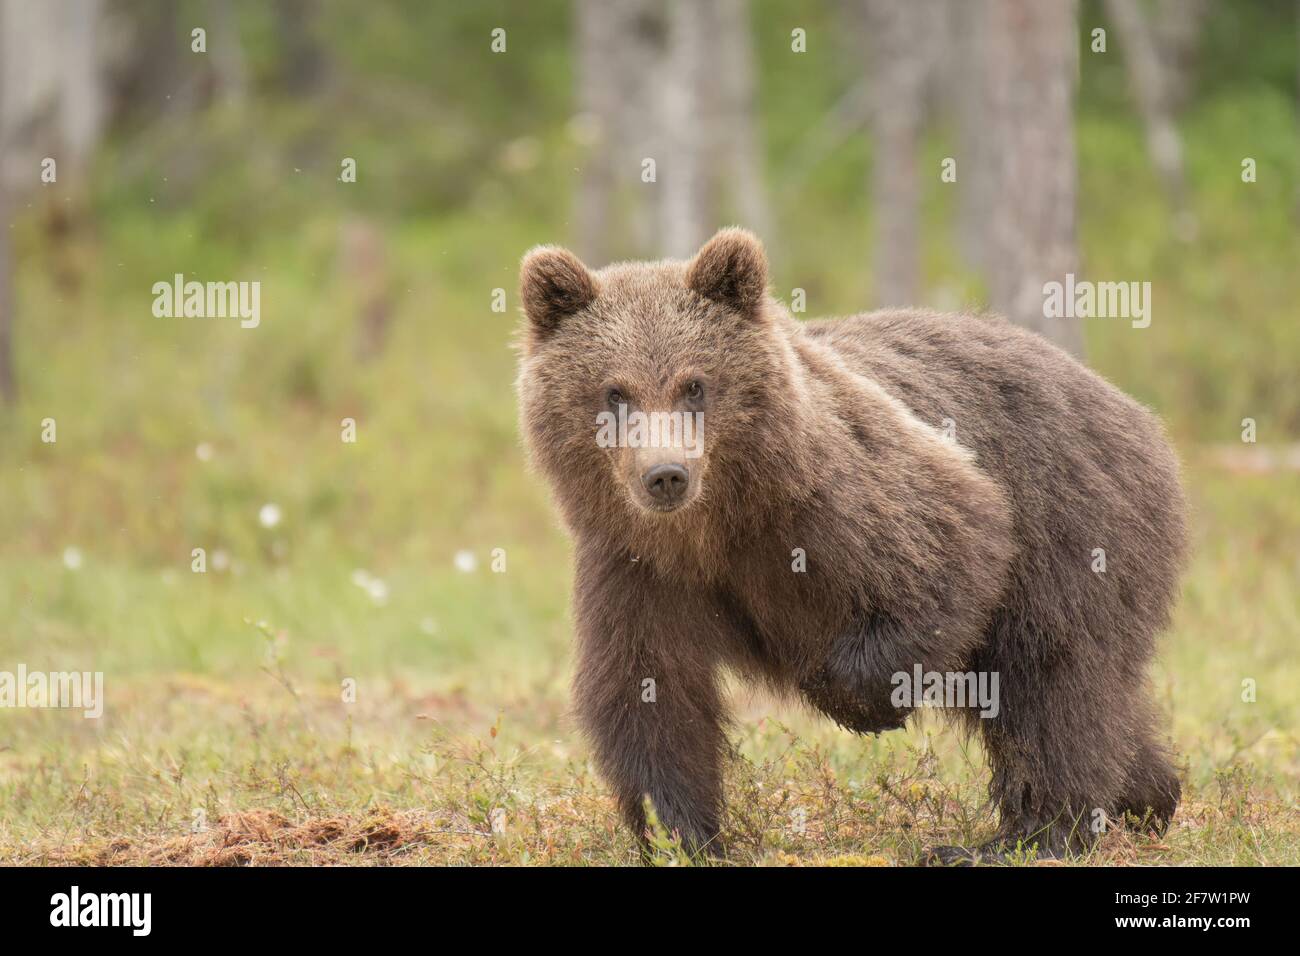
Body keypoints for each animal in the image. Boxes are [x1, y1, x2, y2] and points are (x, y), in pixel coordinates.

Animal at [515, 227, 1186, 863]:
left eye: (694, 384)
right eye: (615, 392)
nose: (666, 474)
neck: (714, 528)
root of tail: (1133, 409)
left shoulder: (835, 494)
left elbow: (951, 540)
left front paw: (859, 701)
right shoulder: (635, 566)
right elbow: (649, 694)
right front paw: (682, 835)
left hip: (1071, 524)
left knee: (1050, 683)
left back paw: (1023, 838)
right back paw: (1148, 795)